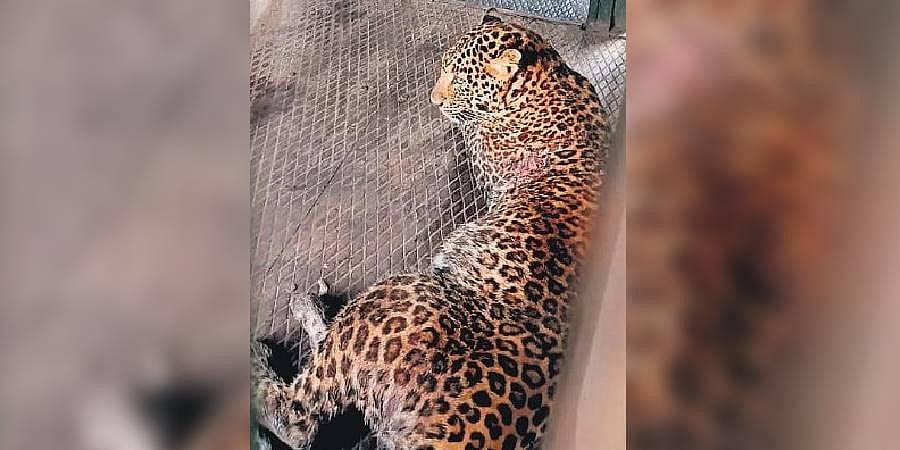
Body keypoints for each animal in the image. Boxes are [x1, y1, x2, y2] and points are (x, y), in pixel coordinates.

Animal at [252, 13, 609, 450]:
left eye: (459, 79)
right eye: (442, 67)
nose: (434, 100)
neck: (547, 75)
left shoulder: (487, 152)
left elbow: (469, 128)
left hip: (395, 296)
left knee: (299, 416)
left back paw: (278, 339)